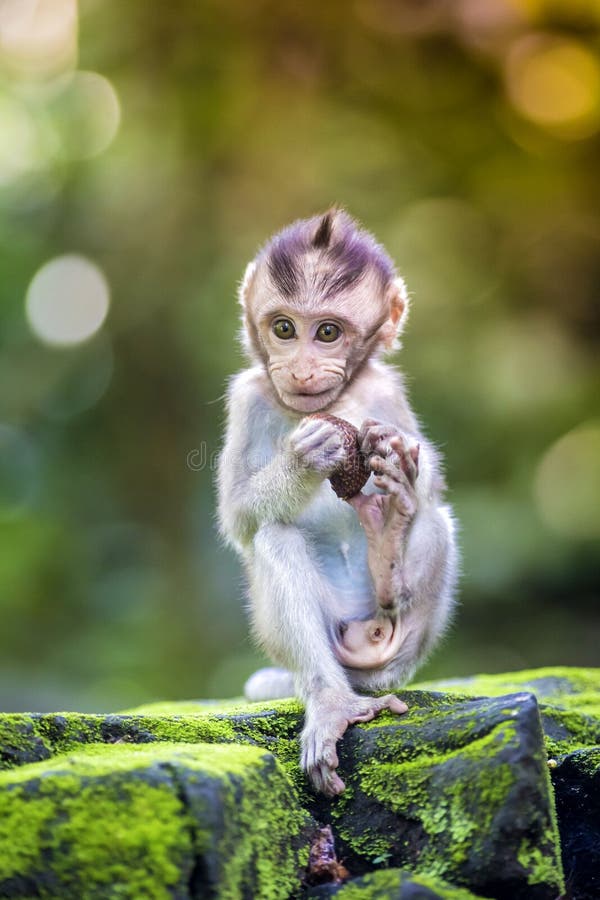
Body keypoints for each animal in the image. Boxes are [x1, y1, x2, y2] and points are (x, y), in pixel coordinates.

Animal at [217, 209, 458, 796]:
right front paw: (304, 459)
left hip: (402, 646)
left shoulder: (386, 388)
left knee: (435, 520)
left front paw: (399, 459)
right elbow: (238, 515)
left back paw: (389, 547)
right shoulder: (246, 396)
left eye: (327, 332)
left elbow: (432, 483)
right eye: (284, 328)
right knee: (275, 535)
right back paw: (330, 702)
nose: (302, 369)